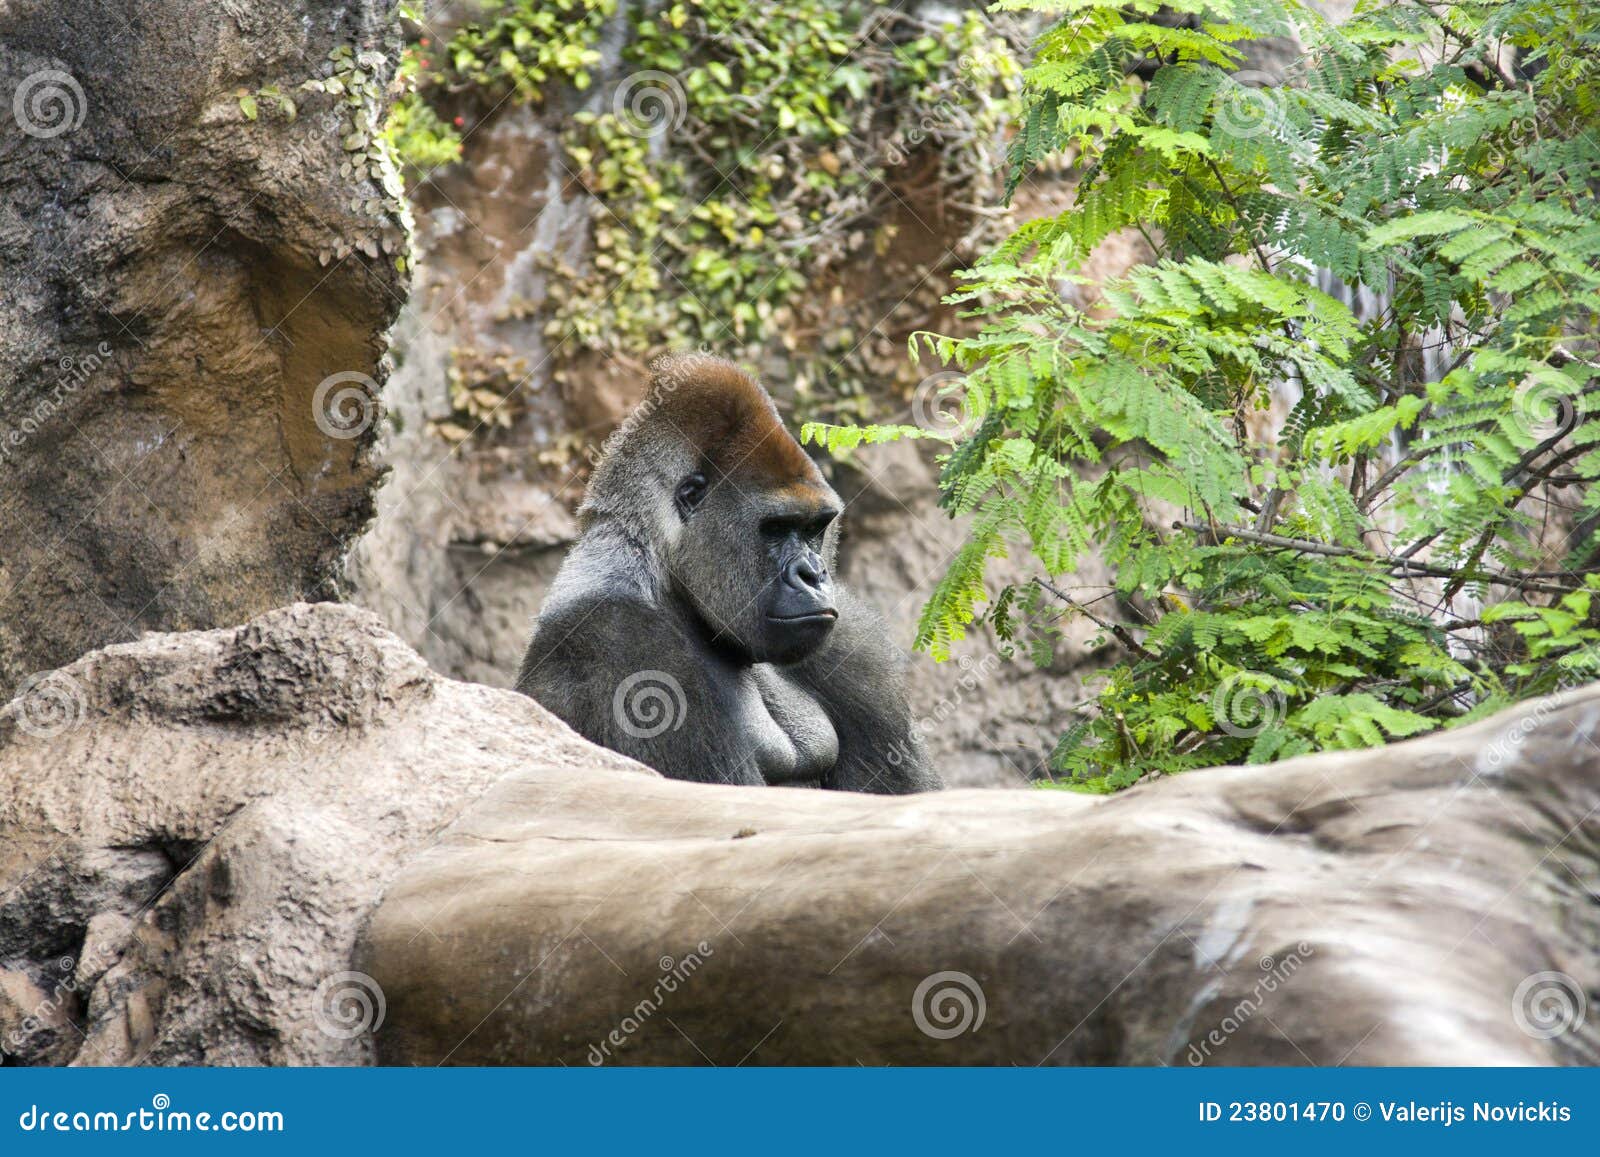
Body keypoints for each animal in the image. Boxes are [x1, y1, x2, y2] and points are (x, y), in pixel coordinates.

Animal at [515, 354, 940, 793]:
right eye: (775, 529)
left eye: (814, 528)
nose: (813, 574)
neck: (661, 573)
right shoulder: (620, 638)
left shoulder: (853, 639)